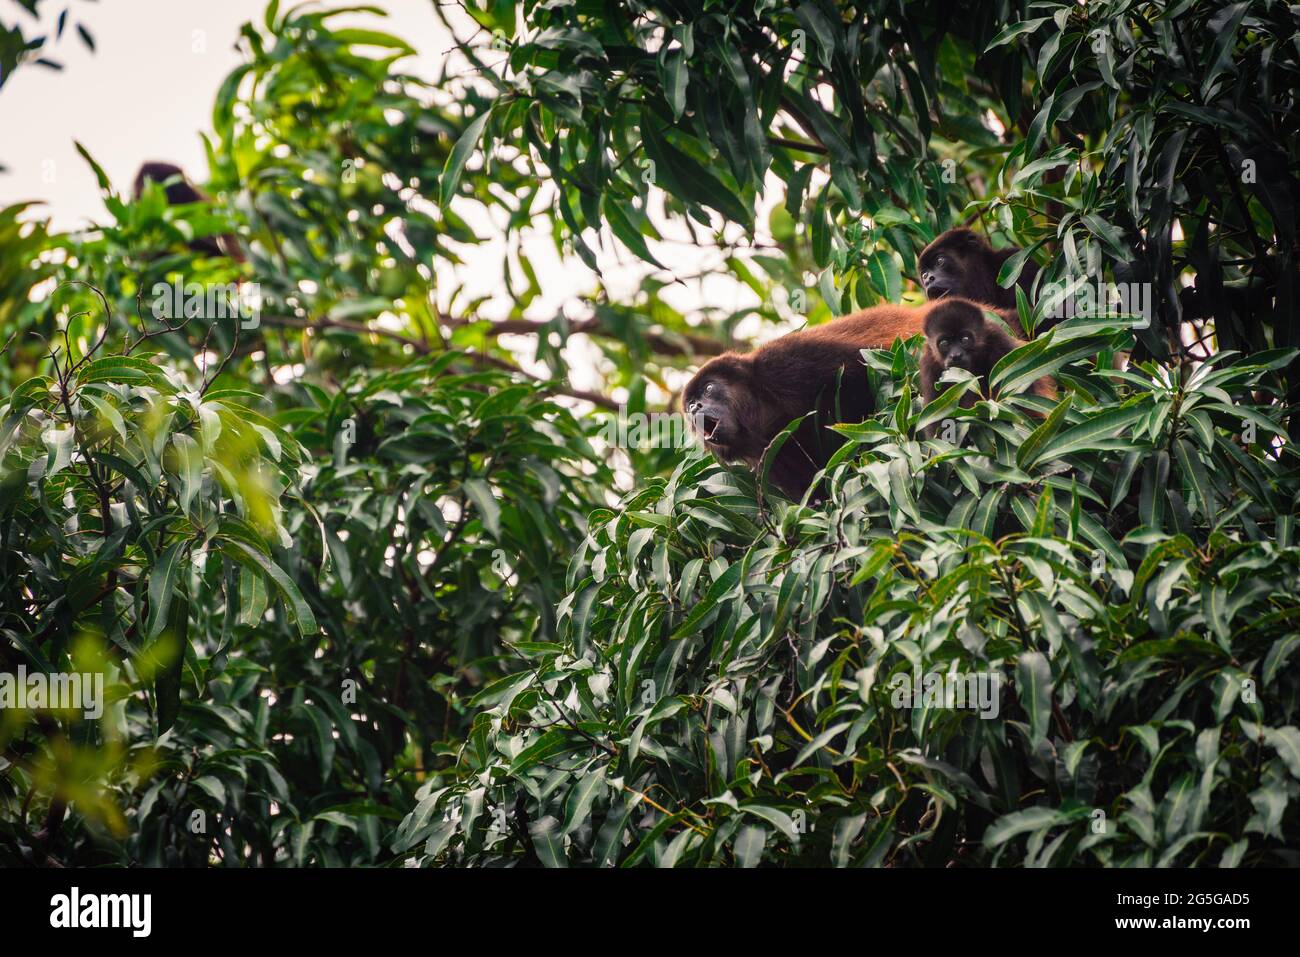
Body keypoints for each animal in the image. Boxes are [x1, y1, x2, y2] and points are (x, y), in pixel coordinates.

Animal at [683, 304, 926, 497]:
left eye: (709, 388)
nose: (695, 408)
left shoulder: (787, 361)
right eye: (689, 404)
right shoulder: (768, 455)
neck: (764, 411)